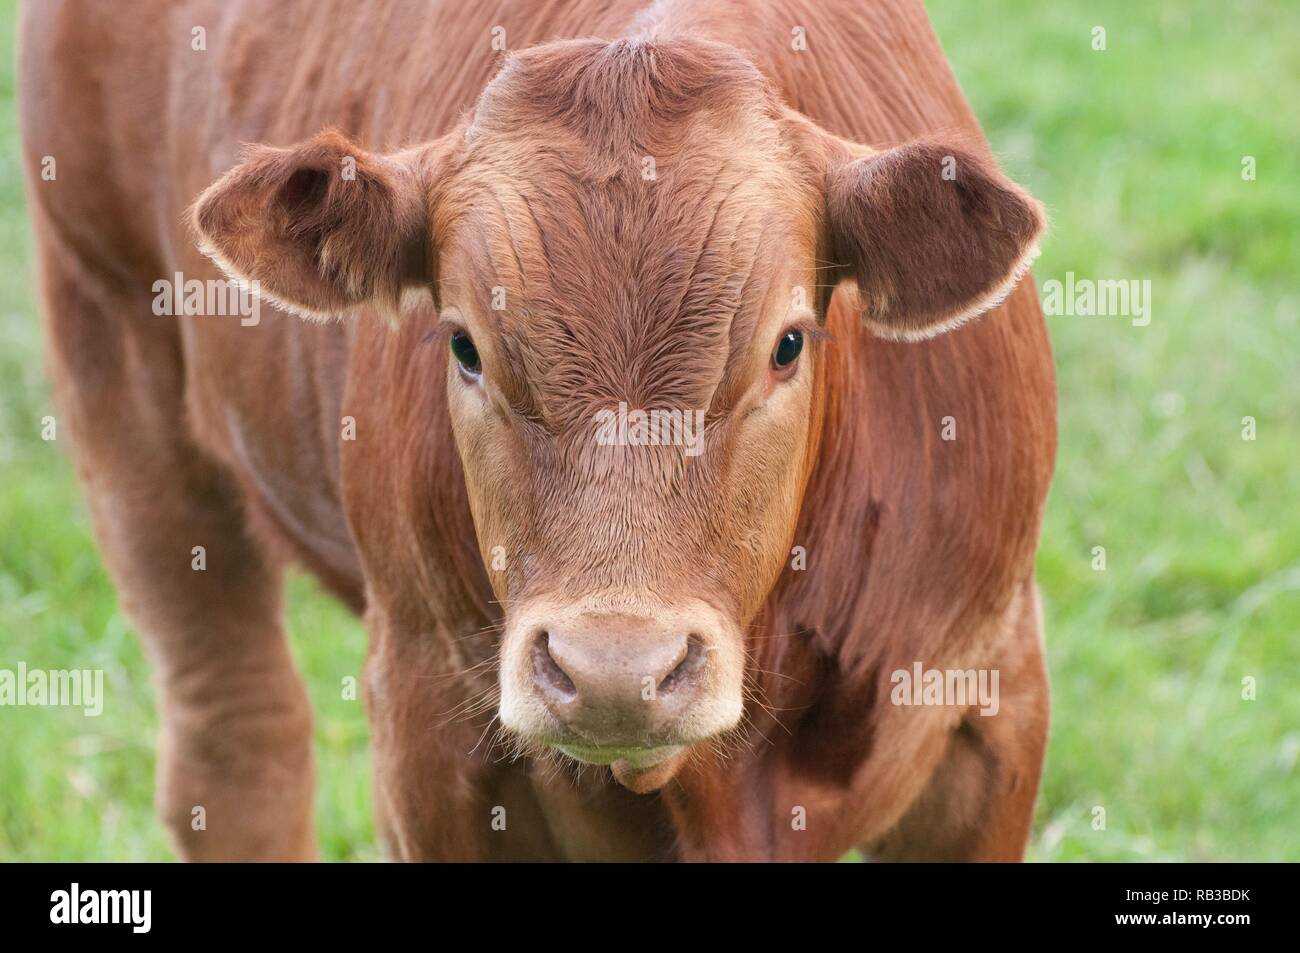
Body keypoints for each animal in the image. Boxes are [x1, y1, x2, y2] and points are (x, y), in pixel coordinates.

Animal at [19, 0, 1055, 861]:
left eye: (788, 343)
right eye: (465, 345)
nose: (614, 673)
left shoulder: (991, 700)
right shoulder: (425, 731)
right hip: (109, 333)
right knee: (237, 742)